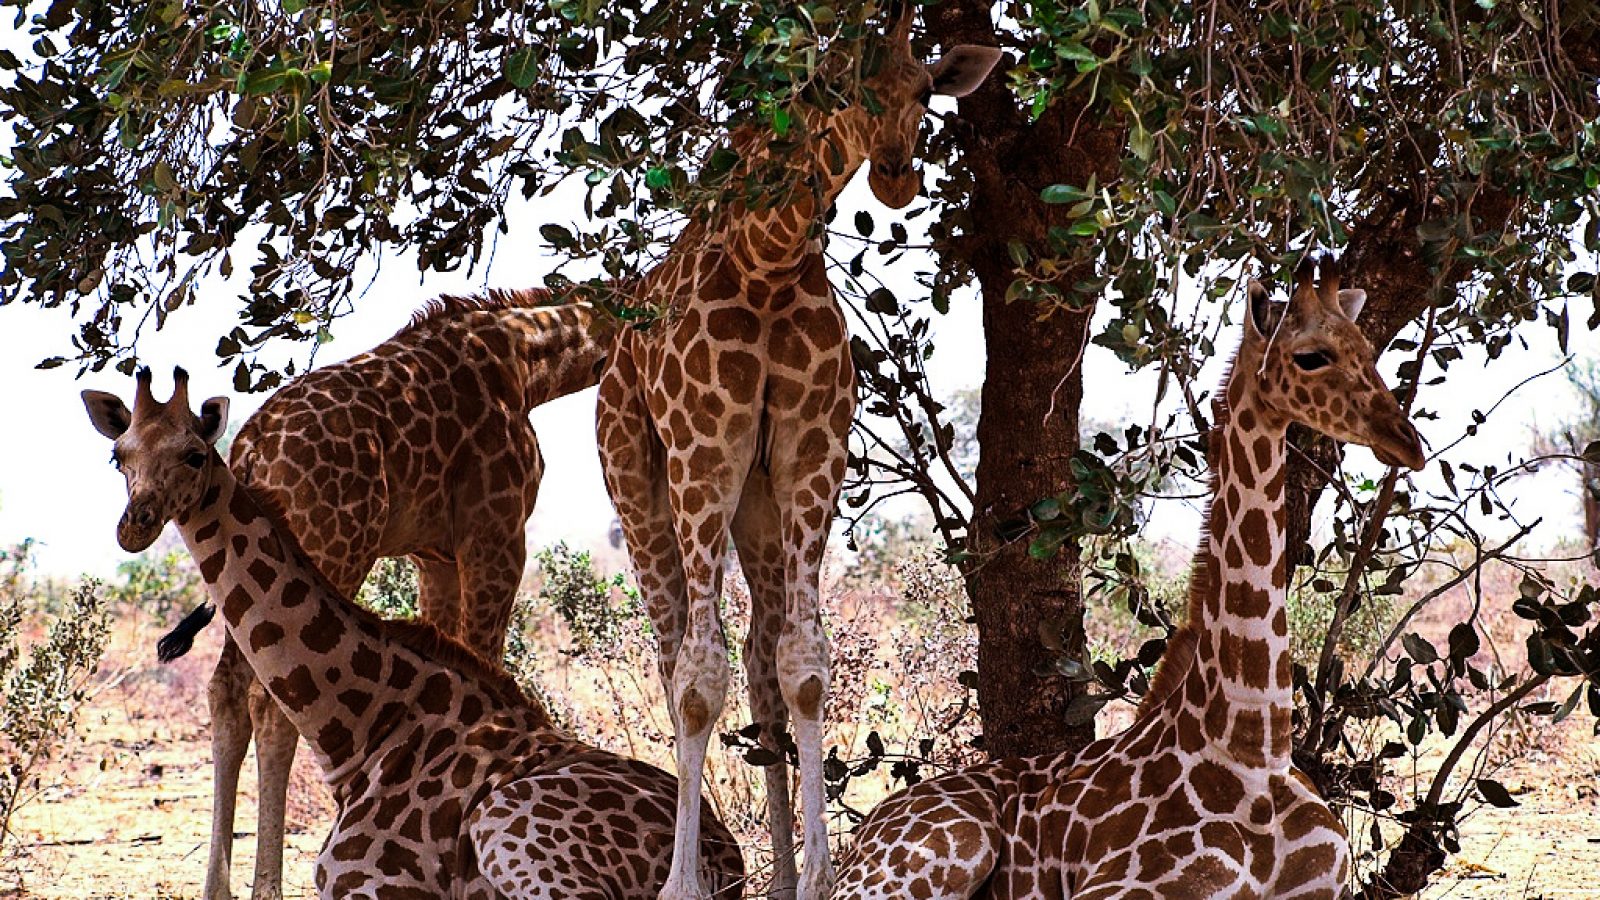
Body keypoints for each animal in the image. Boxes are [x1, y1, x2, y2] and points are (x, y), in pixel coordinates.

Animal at [81, 367, 746, 899]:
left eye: (194, 454)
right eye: (119, 456)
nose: (135, 525)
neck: (358, 732)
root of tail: (729, 864)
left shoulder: (371, 884)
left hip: (511, 833)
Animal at [152, 293, 612, 900]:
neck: (524, 358)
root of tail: (250, 451)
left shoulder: (434, 556)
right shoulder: (495, 533)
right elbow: (485, 657)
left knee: (226, 691)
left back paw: (218, 888)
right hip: (334, 544)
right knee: (271, 699)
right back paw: (269, 886)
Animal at [593, 7, 1002, 898]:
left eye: (927, 90)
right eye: (841, 86)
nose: (896, 175)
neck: (767, 259)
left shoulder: (813, 454)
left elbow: (803, 664)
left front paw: (814, 875)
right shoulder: (702, 452)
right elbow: (696, 680)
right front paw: (682, 886)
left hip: (756, 503)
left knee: (757, 659)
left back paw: (778, 875)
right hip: (638, 483)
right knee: (675, 654)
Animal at [833, 256, 1428, 899]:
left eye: (1368, 348)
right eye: (1311, 356)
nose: (1407, 444)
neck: (1254, 745)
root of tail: (865, 829)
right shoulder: (1117, 889)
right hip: (941, 854)